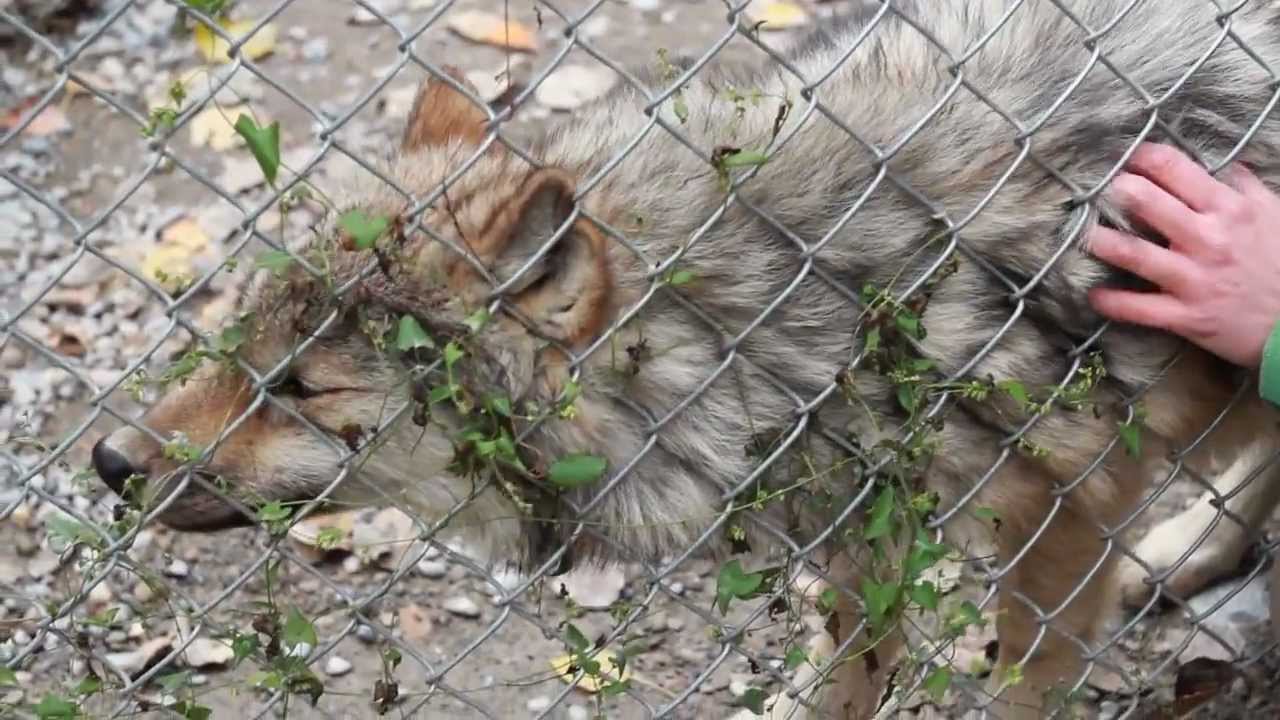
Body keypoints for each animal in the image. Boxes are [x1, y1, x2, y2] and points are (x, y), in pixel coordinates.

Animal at [91, 1, 1280, 717]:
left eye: (299, 387)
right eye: (239, 347)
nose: (107, 462)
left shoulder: (1066, 511)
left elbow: (1021, 684)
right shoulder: (866, 527)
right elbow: (845, 678)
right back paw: (1183, 559)